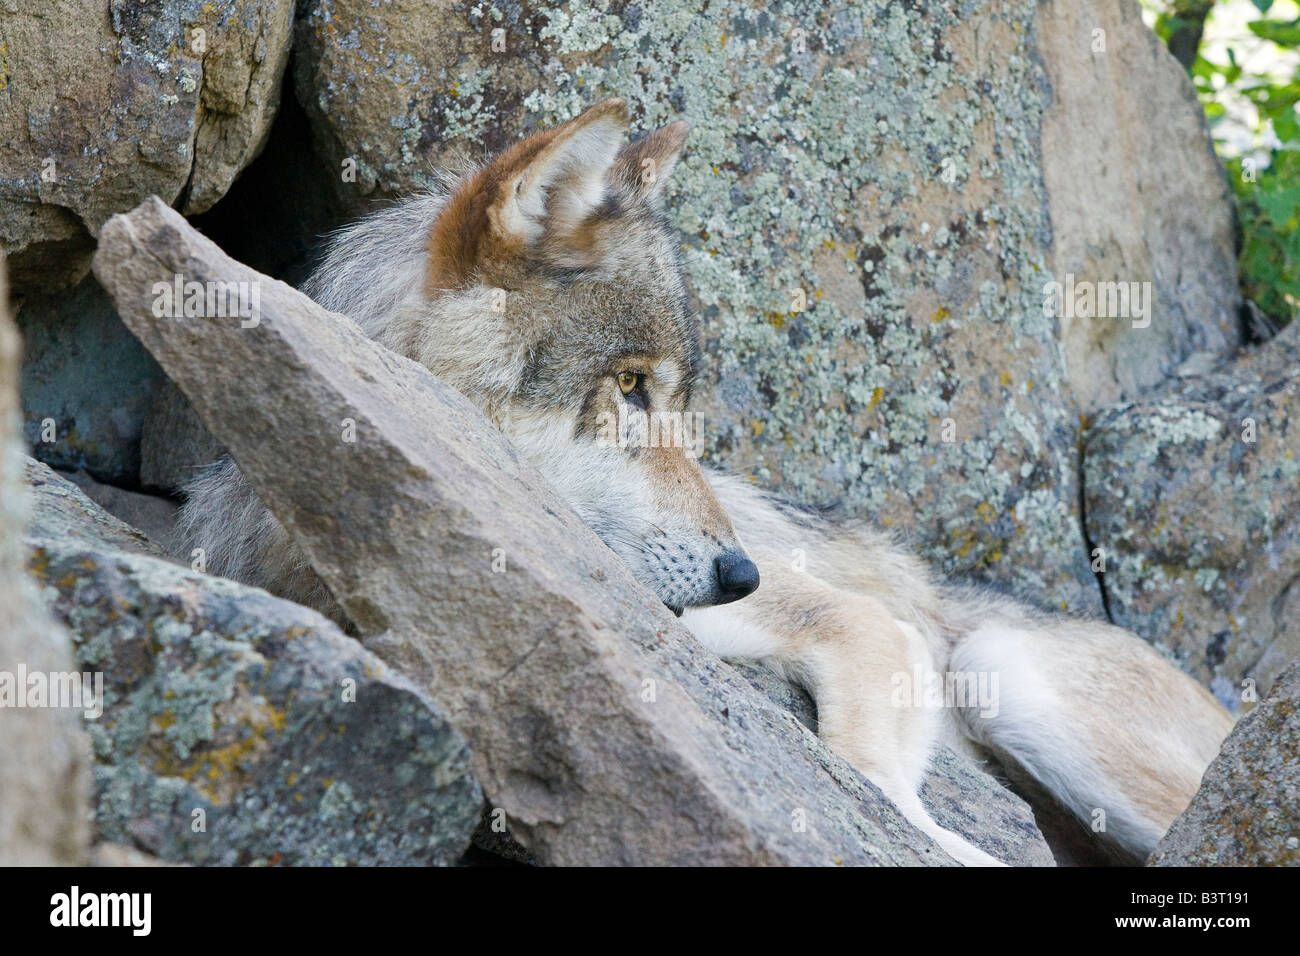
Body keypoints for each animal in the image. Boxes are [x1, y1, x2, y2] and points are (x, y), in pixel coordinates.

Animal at [179, 98, 1234, 866]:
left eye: (681, 404)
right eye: (631, 389)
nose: (742, 574)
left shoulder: (858, 623)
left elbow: (876, 783)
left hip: (1002, 673)